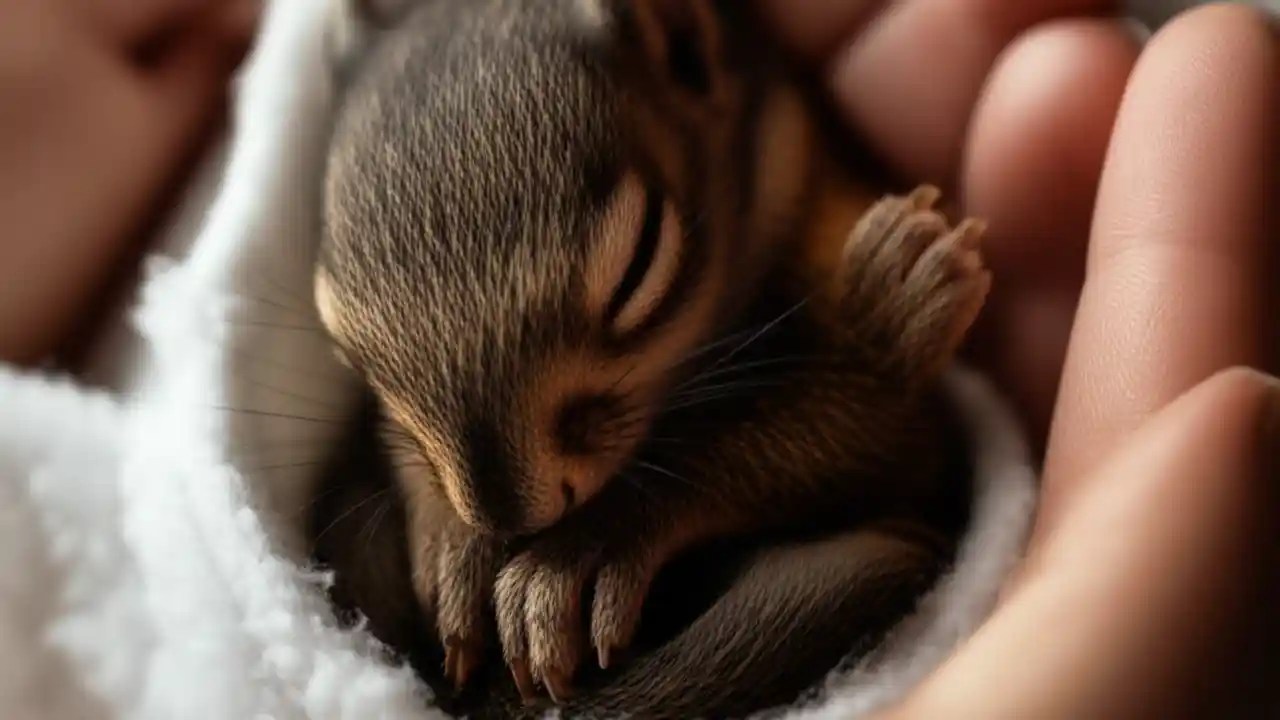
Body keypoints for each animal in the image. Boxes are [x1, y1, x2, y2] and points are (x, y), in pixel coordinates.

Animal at [308, 0, 991, 717]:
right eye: (346, 349)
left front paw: (579, 557)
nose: (510, 516)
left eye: (639, 266)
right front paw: (455, 550)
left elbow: (871, 438)